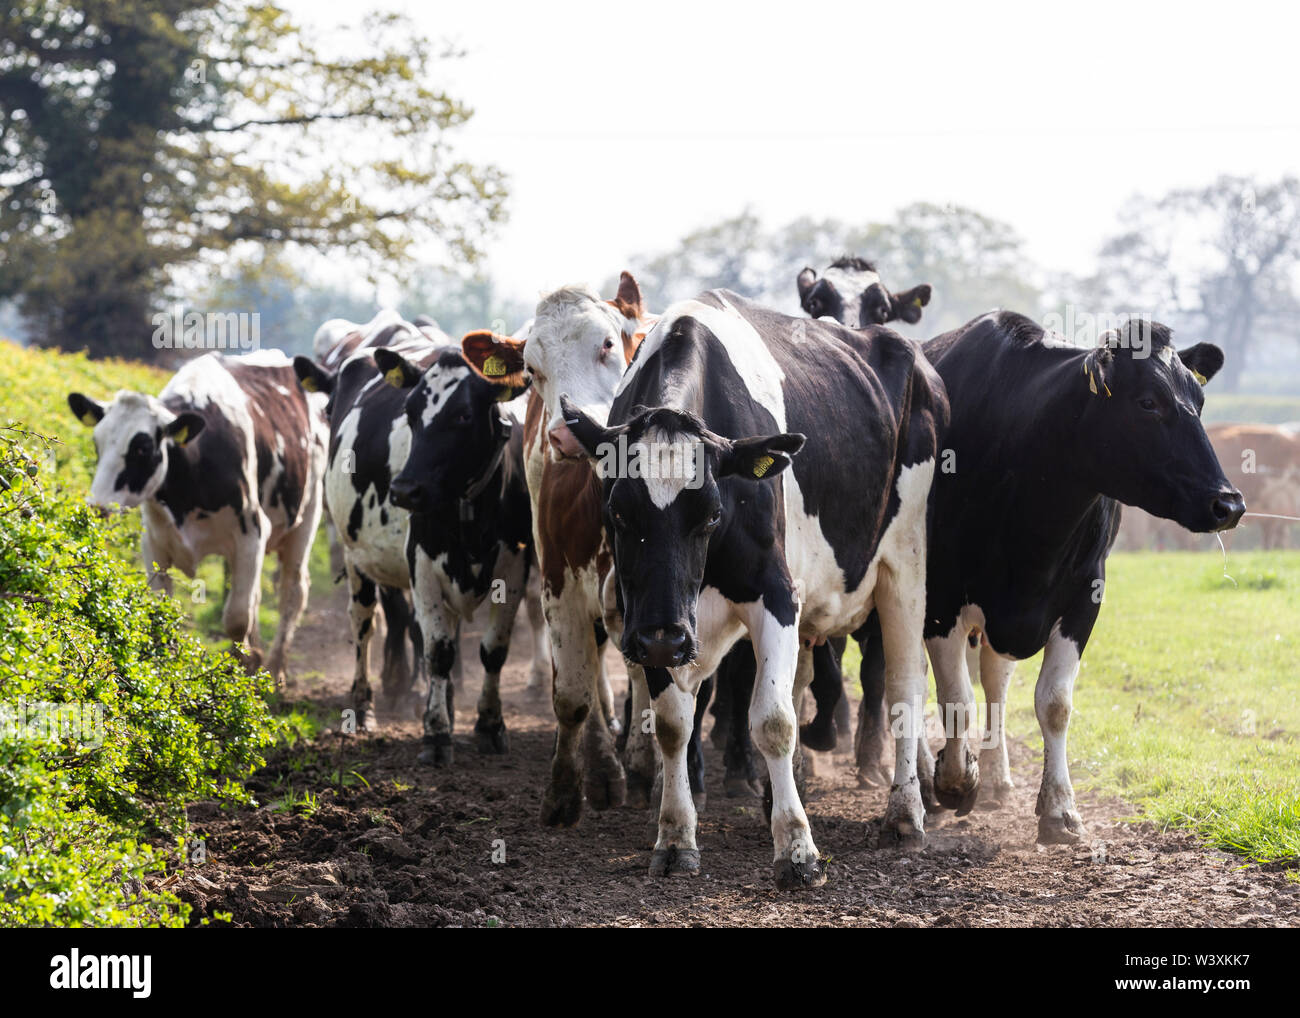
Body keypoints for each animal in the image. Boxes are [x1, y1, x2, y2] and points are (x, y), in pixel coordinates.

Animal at [68, 350, 327, 684]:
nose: (97, 505)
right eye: (97, 443)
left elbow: (237, 616)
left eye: (142, 448)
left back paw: (276, 668)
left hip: (307, 514)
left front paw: (244, 664)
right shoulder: (154, 542)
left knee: (292, 591)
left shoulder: (252, 533)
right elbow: (161, 613)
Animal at [562, 289, 949, 887]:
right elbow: (674, 723)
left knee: (904, 683)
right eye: (617, 512)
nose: (664, 639)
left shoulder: (776, 593)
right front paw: (676, 837)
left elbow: (773, 720)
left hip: (905, 561)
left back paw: (905, 814)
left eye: (711, 512)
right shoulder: (645, 615)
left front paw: (797, 849)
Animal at [866, 314, 1242, 844]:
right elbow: (955, 697)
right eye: (1148, 402)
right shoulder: (938, 597)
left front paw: (1060, 809)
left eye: (1200, 402)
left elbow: (1054, 703)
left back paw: (998, 777)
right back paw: (927, 778)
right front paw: (955, 780)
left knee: (995, 681)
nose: (1228, 503)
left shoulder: (1084, 595)